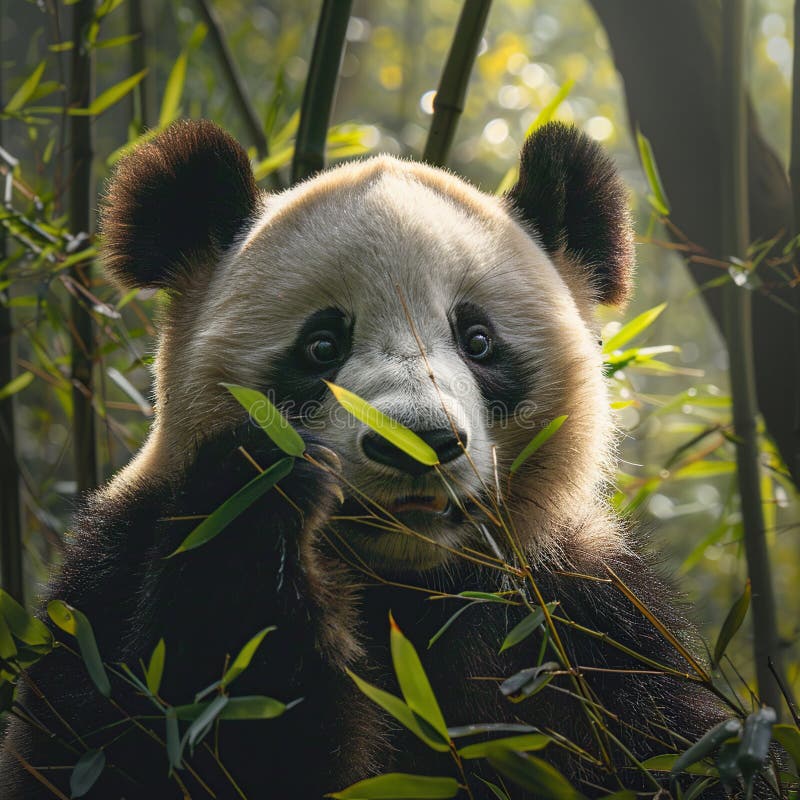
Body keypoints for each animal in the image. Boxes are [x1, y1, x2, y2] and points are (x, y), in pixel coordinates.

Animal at [0, 120, 729, 799]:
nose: (419, 440)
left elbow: (677, 750)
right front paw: (266, 504)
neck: (406, 582)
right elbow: (139, 738)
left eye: (479, 340)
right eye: (322, 345)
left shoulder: (587, 622)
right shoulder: (114, 577)